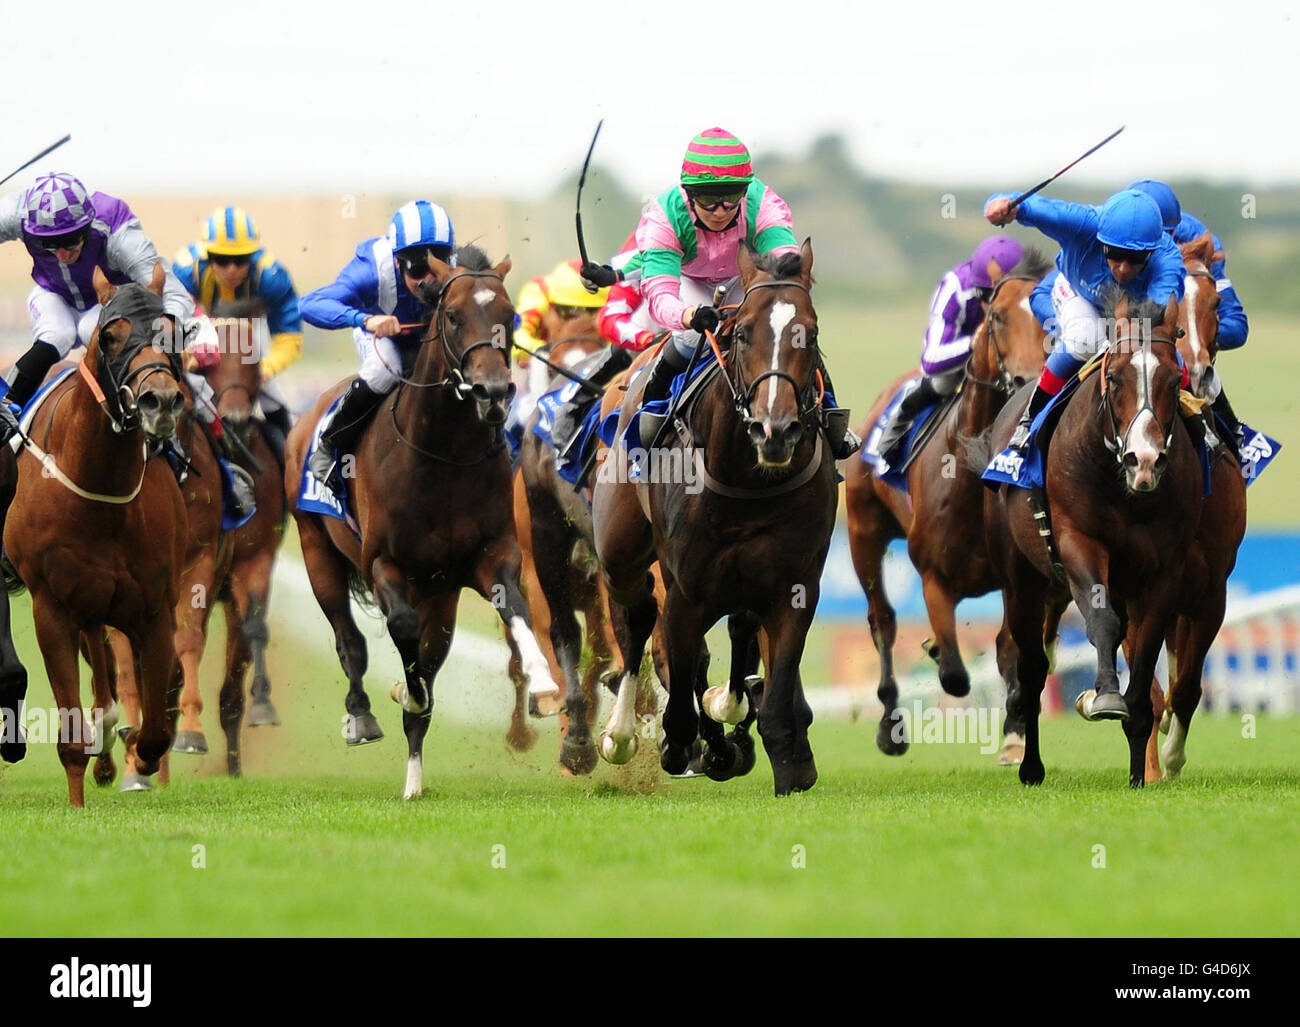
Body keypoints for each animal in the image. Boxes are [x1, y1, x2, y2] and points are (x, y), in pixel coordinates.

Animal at [3, 265, 187, 806]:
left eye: (173, 332)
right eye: (110, 336)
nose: (159, 400)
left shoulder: (153, 610)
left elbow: (155, 730)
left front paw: (137, 757)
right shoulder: (51, 609)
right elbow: (69, 737)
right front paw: (78, 803)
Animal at [285, 245, 558, 799]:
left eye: (509, 316)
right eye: (451, 315)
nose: (493, 391)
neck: (441, 454)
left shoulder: (491, 556)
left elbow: (515, 608)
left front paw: (543, 680)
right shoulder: (382, 564)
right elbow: (402, 631)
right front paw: (403, 690)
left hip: (441, 597)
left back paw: (413, 779)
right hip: (316, 550)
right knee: (349, 640)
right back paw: (363, 717)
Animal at [592, 241, 840, 796]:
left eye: (810, 333)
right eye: (742, 333)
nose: (776, 430)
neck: (749, 482)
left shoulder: (794, 584)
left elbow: (771, 689)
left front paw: (785, 759)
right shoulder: (685, 589)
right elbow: (682, 682)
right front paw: (688, 743)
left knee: (735, 628)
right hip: (619, 551)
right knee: (637, 616)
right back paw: (621, 735)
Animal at [845, 260, 1050, 760]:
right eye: (997, 317)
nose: (1027, 381)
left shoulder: (1019, 579)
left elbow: (1012, 651)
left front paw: (1016, 727)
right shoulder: (934, 578)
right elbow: (955, 676)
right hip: (863, 533)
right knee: (883, 621)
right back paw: (890, 724)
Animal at [985, 291, 1200, 788]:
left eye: (1172, 377)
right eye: (1116, 377)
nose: (1144, 460)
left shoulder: (1163, 571)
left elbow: (1145, 656)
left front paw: (1139, 773)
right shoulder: (1078, 542)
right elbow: (1102, 622)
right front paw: (1103, 698)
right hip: (1023, 580)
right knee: (1032, 666)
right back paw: (1030, 765)